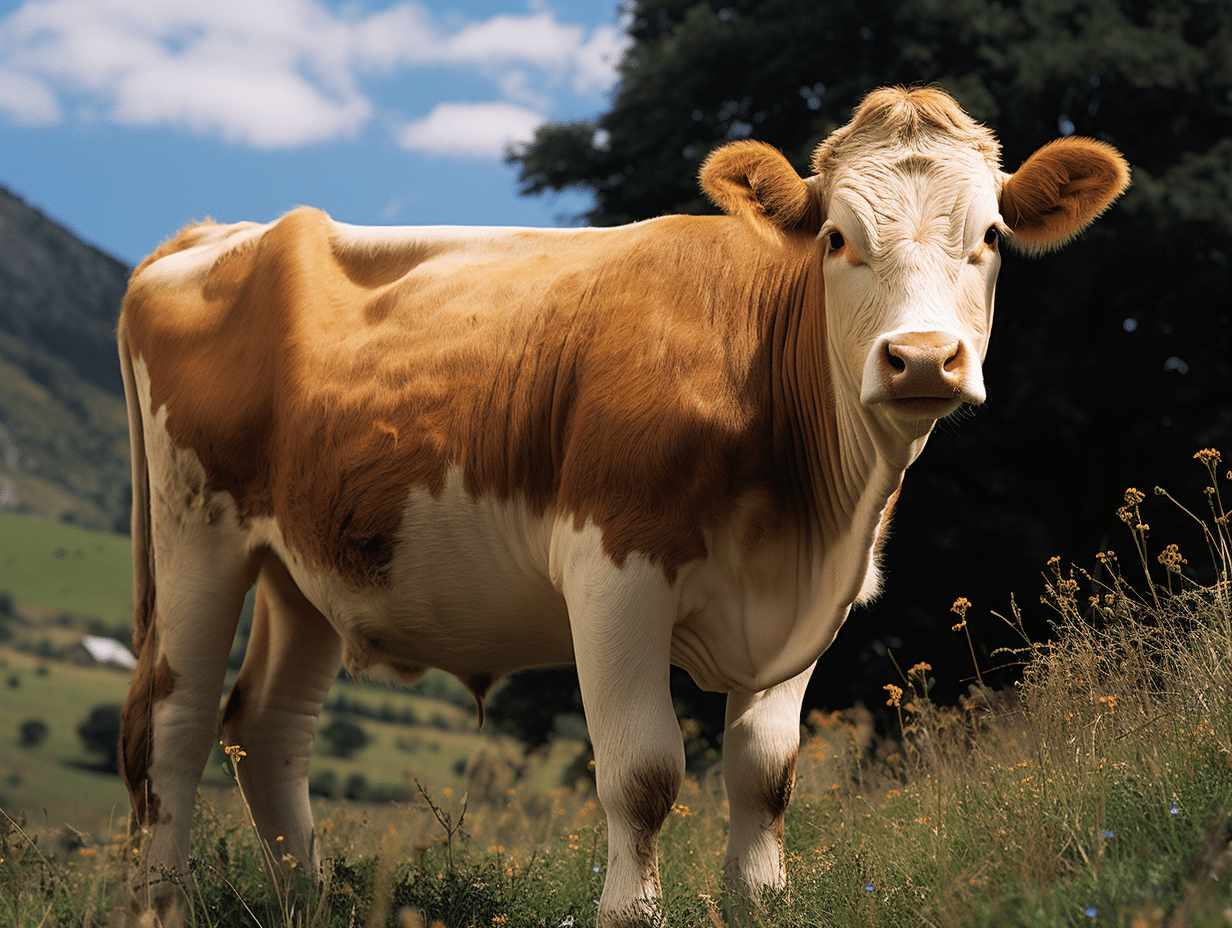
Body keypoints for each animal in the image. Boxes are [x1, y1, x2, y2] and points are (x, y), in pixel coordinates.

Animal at [117, 86, 1128, 925]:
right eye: (838, 238)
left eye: (989, 236)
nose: (922, 359)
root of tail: (217, 233)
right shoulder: (613, 569)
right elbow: (642, 774)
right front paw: (630, 912)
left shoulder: (810, 603)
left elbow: (766, 774)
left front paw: (761, 901)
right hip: (195, 532)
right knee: (171, 723)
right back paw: (163, 906)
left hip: (308, 564)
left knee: (266, 727)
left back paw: (309, 903)